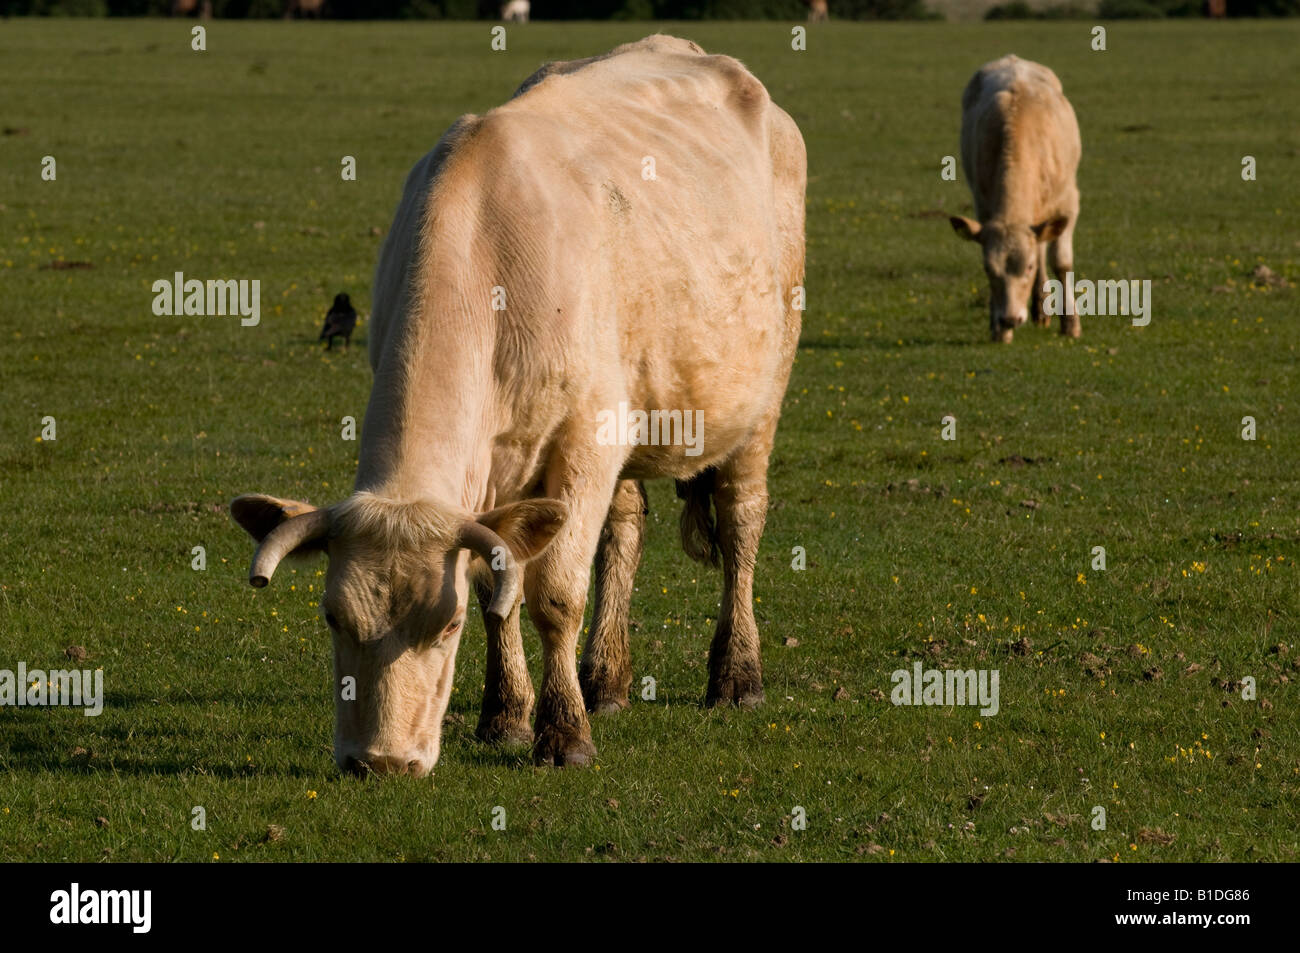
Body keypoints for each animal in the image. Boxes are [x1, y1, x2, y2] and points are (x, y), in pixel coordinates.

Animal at [230, 35, 807, 777]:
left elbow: (554, 594)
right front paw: (505, 714)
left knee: (740, 523)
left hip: (760, 396)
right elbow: (496, 589)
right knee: (623, 532)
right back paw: (605, 679)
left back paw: (736, 675)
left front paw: (563, 734)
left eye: (442, 626)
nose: (379, 761)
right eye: (333, 617)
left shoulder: (584, 440)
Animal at [949, 55, 1082, 342]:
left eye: (1027, 268)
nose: (1011, 318)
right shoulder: (983, 205)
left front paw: (1071, 325)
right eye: (988, 270)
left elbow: (1061, 261)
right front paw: (999, 328)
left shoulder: (1068, 202)